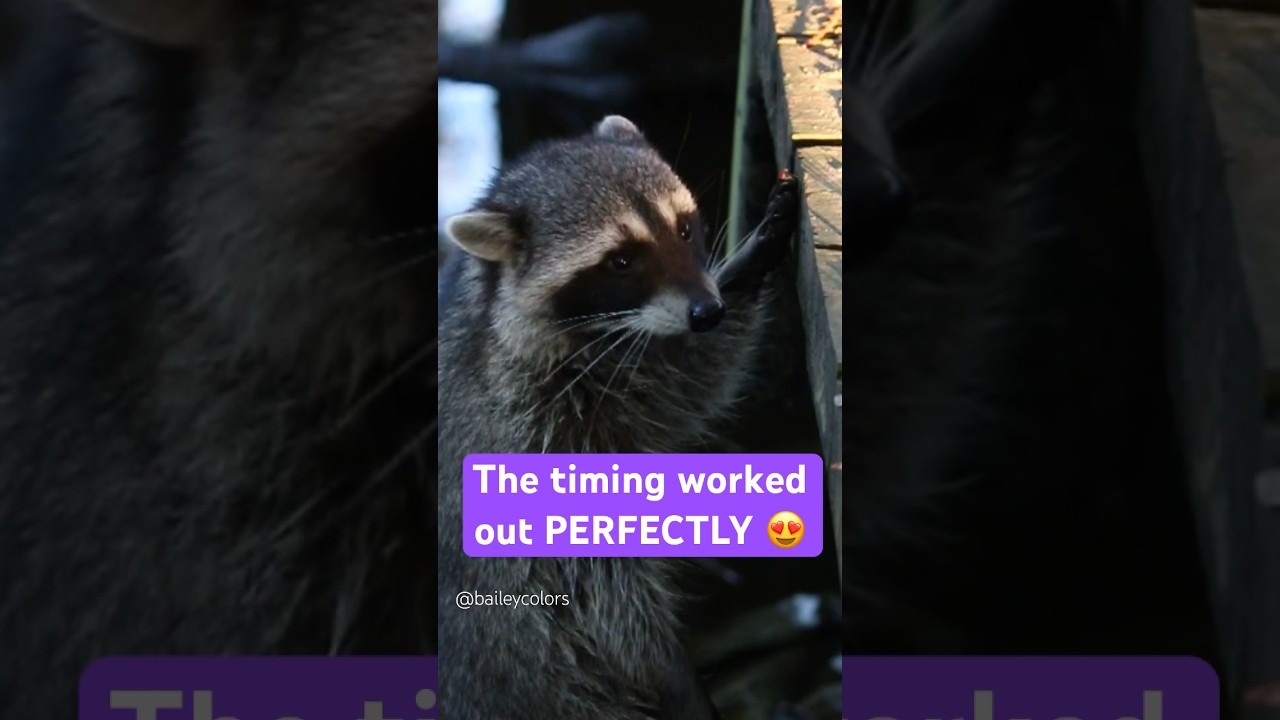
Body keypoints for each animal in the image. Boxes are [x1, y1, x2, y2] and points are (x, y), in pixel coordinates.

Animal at [437, 115, 800, 719]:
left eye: (684, 229)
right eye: (621, 260)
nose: (709, 311)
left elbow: (686, 385)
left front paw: (753, 259)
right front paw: (669, 672)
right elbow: (599, 588)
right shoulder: (526, 431)